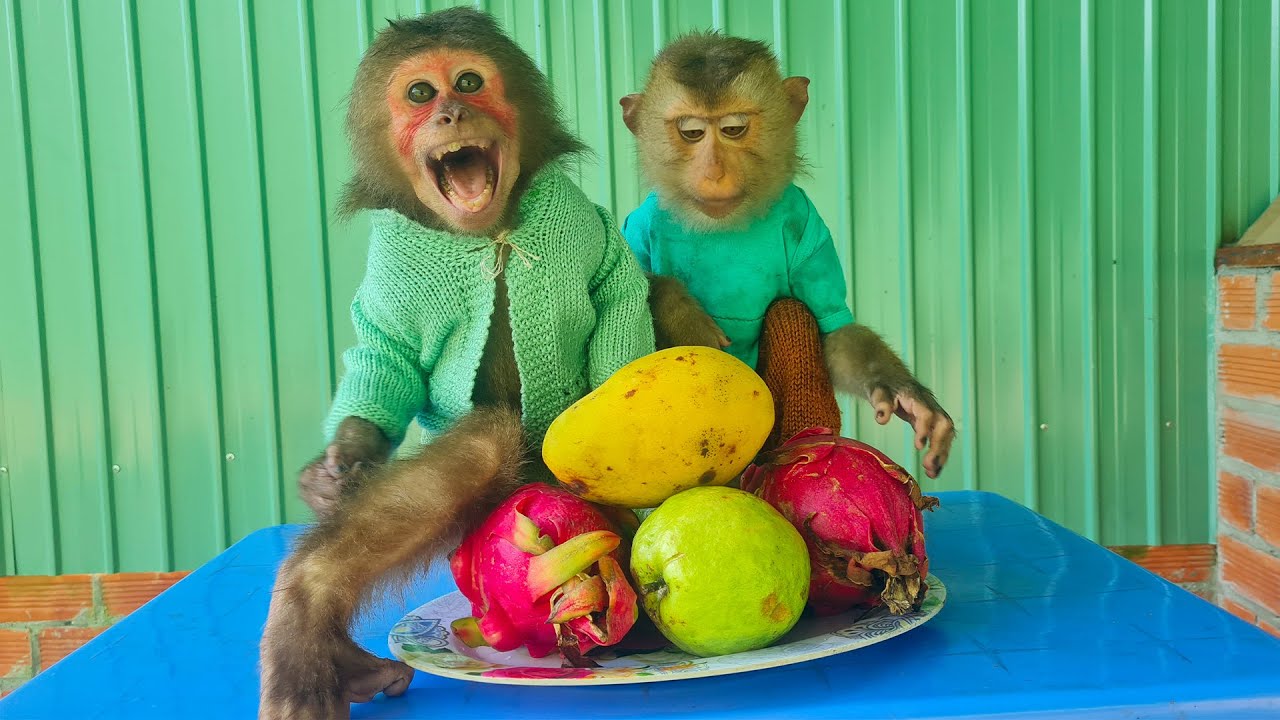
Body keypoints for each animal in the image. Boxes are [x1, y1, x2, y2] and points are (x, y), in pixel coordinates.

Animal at [258, 9, 657, 717]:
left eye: (469, 81)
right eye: (420, 93)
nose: (449, 112)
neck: (489, 236)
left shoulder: (577, 223)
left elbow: (619, 301)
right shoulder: (397, 265)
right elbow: (384, 357)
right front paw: (339, 463)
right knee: (485, 447)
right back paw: (312, 605)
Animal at [619, 31, 956, 478]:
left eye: (734, 129)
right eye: (691, 132)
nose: (714, 171)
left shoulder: (811, 229)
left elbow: (835, 336)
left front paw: (900, 391)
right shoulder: (636, 228)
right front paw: (681, 311)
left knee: (792, 311)